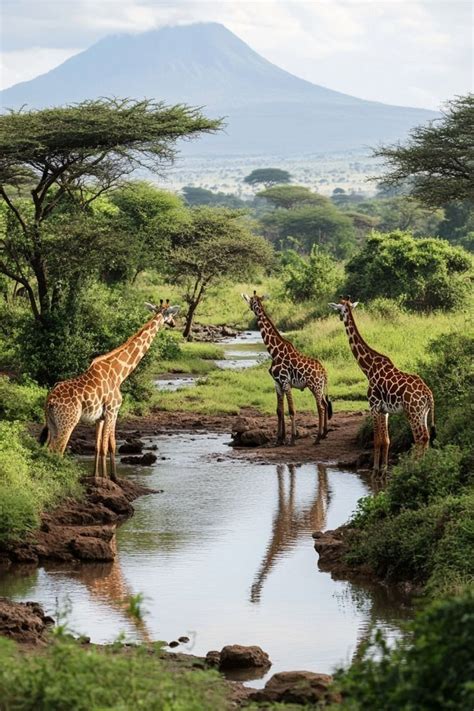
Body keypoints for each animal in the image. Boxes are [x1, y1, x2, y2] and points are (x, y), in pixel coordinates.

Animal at [40, 300, 179, 481]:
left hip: (52, 423)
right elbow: (110, 445)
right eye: (170, 314)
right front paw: (112, 477)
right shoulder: (113, 410)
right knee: (57, 450)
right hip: (67, 422)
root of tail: (49, 400)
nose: (173, 323)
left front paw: (98, 476)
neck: (119, 373)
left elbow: (99, 446)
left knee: (47, 449)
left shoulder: (100, 417)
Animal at [242, 291, 332, 445]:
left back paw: (318, 438)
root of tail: (324, 373)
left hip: (314, 386)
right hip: (319, 387)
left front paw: (292, 438)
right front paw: (279, 438)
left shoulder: (285, 382)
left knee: (320, 407)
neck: (274, 351)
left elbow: (291, 410)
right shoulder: (277, 383)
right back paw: (324, 433)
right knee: (325, 405)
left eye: (252, 300)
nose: (250, 308)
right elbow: (279, 410)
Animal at [329, 297, 435, 473]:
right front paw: (384, 466)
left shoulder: (373, 406)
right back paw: (422, 464)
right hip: (423, 412)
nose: (338, 318)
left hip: (412, 412)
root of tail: (429, 395)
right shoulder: (385, 411)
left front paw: (375, 468)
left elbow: (378, 440)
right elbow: (386, 440)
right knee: (426, 437)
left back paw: (414, 467)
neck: (368, 368)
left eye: (338, 309)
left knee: (420, 437)